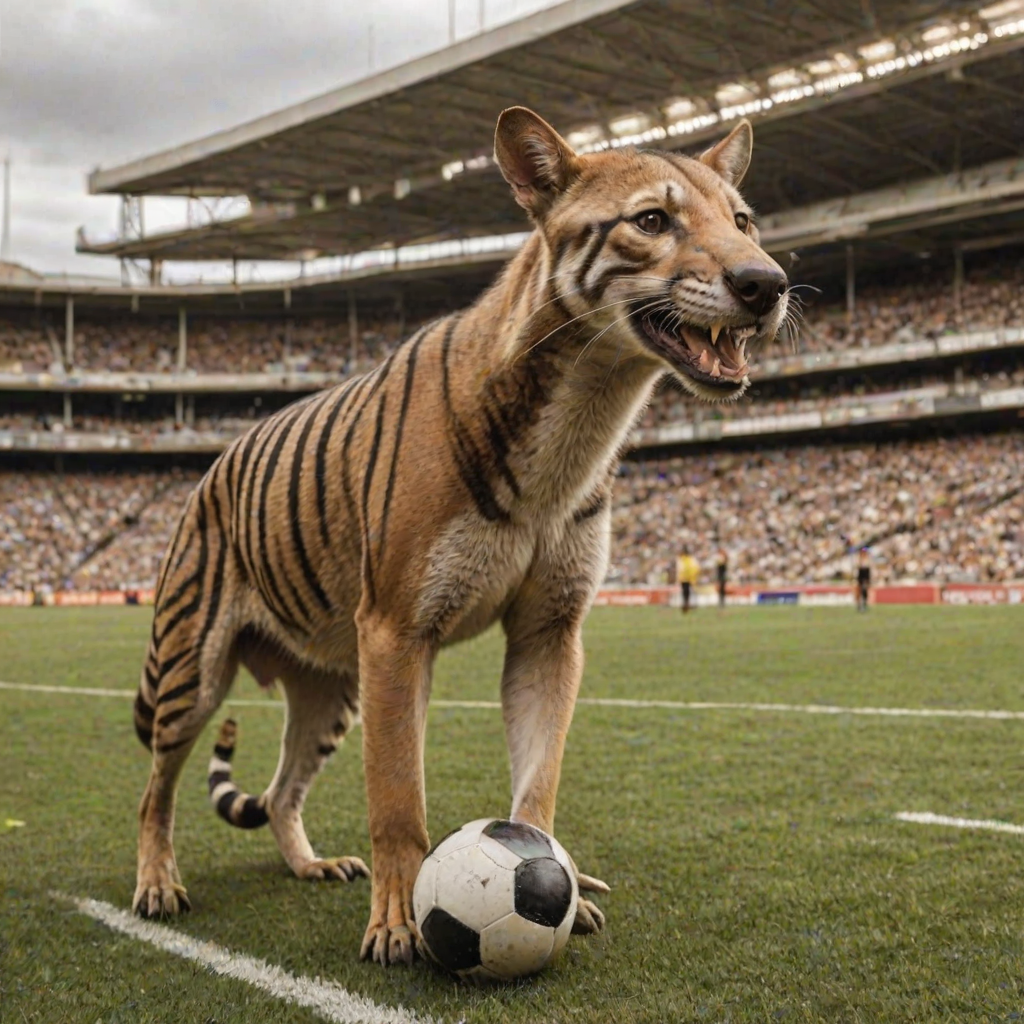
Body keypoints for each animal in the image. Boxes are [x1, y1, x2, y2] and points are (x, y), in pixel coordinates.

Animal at [131, 105, 789, 966]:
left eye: (743, 221)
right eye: (652, 221)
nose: (768, 284)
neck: (585, 413)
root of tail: (211, 466)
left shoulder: (549, 632)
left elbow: (537, 782)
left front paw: (561, 891)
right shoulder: (397, 635)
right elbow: (397, 801)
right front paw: (397, 922)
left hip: (329, 692)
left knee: (278, 791)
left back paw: (309, 865)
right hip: (191, 672)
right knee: (157, 787)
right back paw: (156, 885)